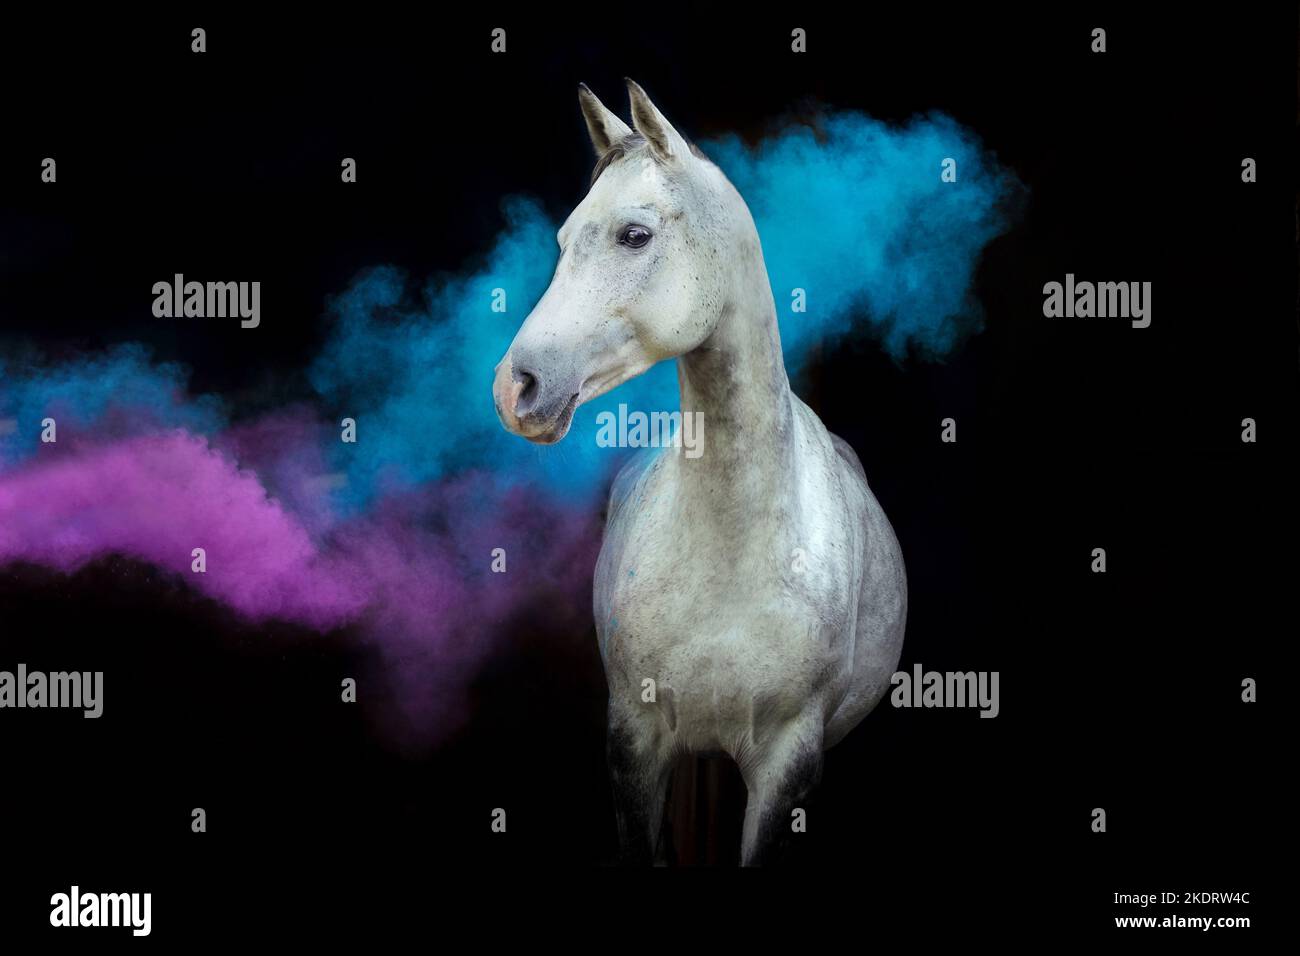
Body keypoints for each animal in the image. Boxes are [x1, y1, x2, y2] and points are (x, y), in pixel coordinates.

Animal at [492, 80, 907, 865]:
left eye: (634, 235)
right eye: (562, 241)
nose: (515, 387)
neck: (733, 551)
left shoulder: (787, 766)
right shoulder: (635, 739)